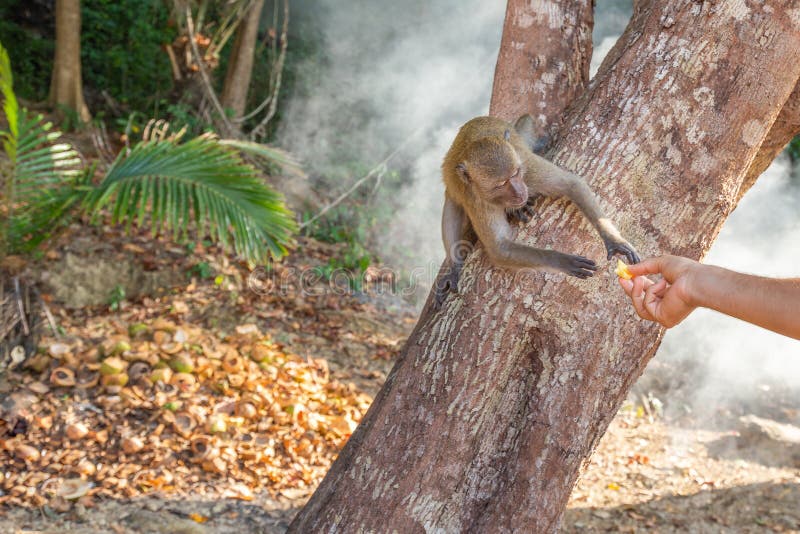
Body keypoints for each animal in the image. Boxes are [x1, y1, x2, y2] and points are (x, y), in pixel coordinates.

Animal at [435, 115, 640, 308]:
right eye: (500, 184)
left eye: (515, 174)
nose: (519, 192)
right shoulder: (478, 202)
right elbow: (500, 248)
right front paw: (561, 261)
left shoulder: (527, 168)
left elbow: (571, 184)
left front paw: (613, 240)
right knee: (452, 203)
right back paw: (454, 266)